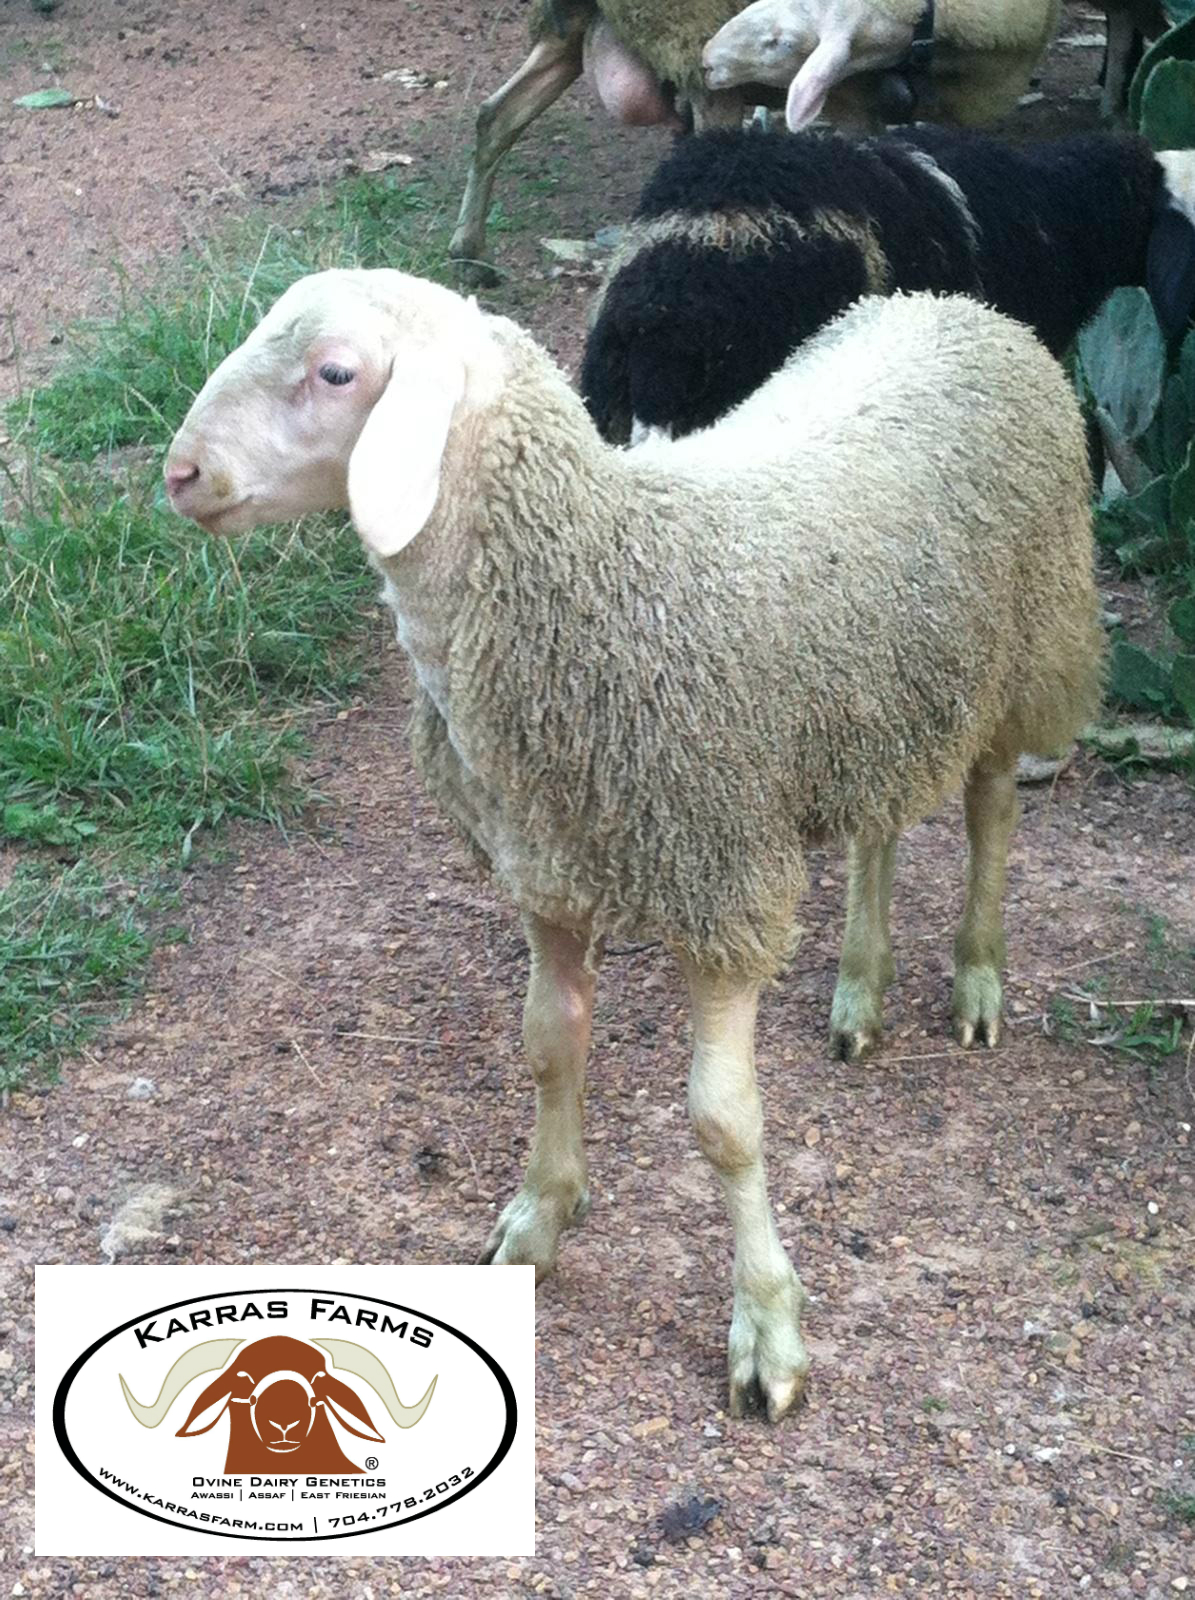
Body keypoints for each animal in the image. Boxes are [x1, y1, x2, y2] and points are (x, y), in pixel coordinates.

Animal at [164, 268, 1102, 1419]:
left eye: (336, 371)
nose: (180, 472)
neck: (597, 573)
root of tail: (957, 304)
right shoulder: (548, 877)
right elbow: (548, 1048)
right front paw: (538, 1217)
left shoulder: (717, 882)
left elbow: (722, 1124)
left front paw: (767, 1327)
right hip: (868, 704)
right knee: (877, 831)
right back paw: (858, 987)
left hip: (1023, 645)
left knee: (990, 812)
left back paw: (975, 978)